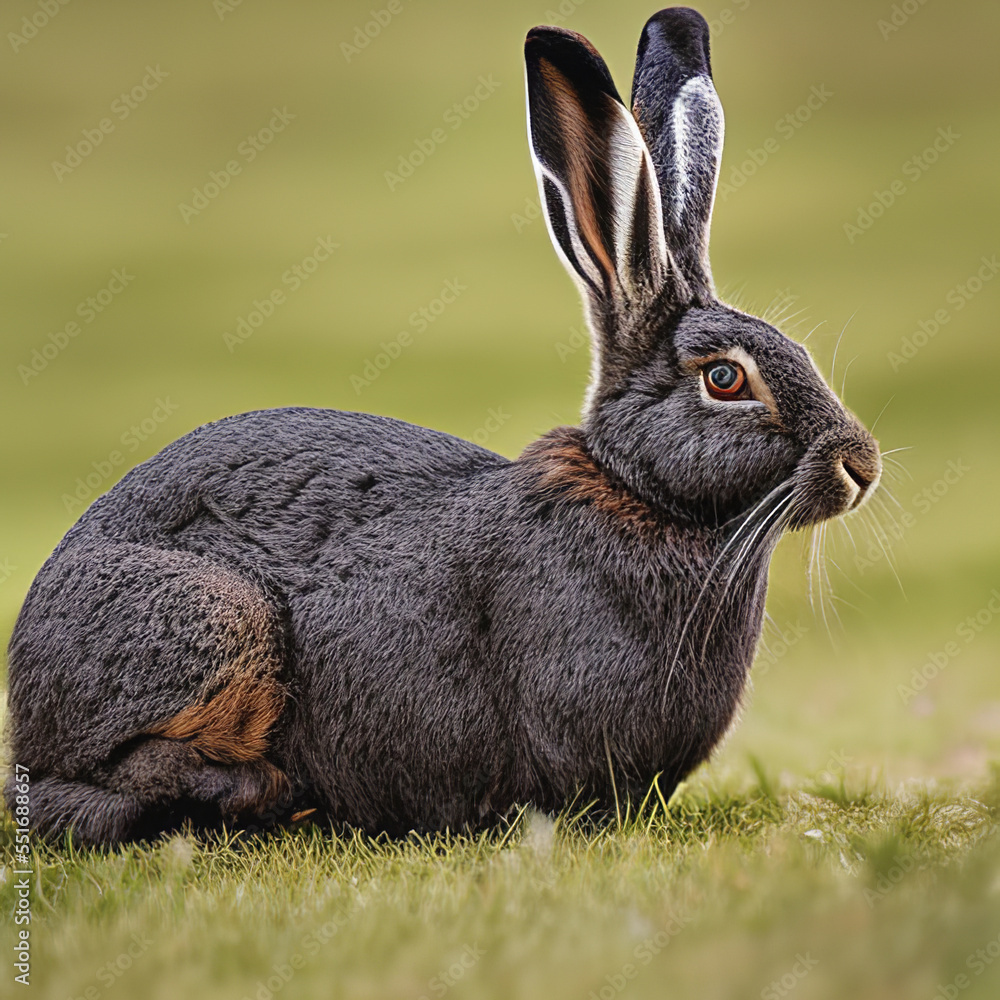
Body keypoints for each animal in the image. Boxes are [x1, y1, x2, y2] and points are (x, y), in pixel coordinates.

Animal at [4, 7, 881, 846]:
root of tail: (26, 674)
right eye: (725, 378)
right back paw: (265, 799)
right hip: (216, 621)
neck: (639, 496)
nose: (861, 465)